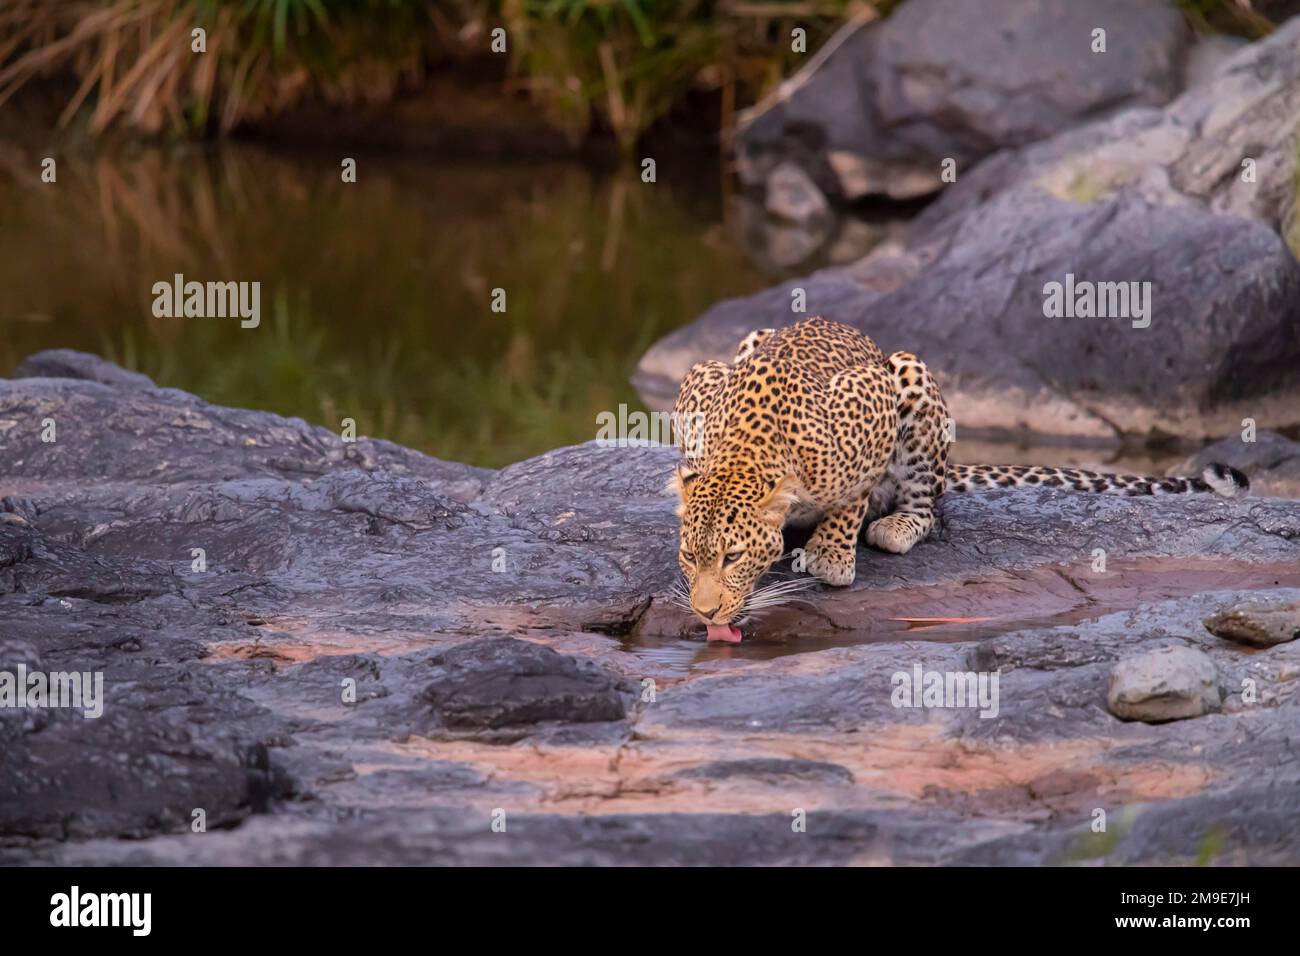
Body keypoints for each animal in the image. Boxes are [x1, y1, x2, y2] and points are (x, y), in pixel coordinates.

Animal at [669, 316, 1249, 641]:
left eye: (734, 558)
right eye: (690, 557)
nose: (704, 612)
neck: (747, 449)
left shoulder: (871, 400)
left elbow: (852, 496)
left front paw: (831, 553)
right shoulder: (699, 381)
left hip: (911, 375)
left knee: (925, 504)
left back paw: (895, 526)